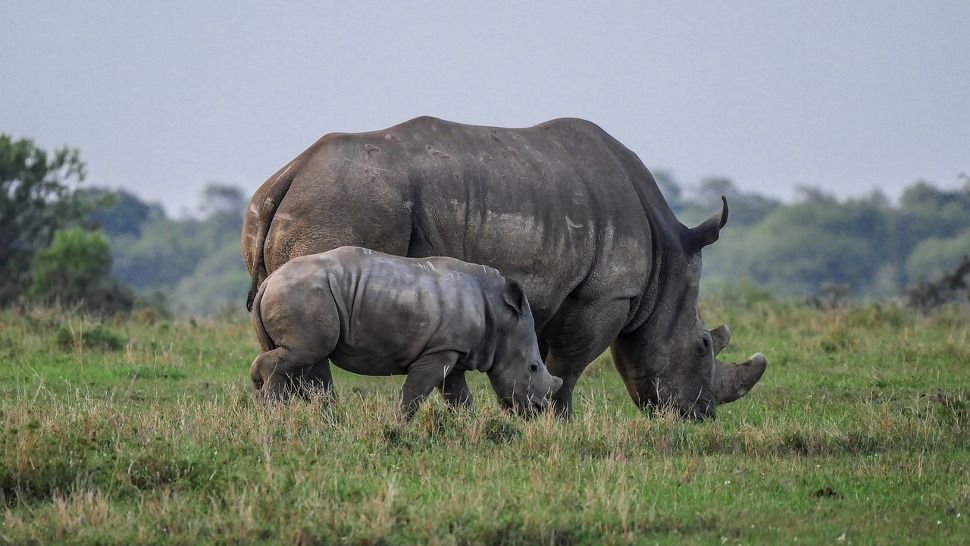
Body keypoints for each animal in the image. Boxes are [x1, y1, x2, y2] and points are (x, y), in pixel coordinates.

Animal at [249, 245, 563, 419]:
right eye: (533, 367)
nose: (537, 411)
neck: (500, 317)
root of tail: (268, 282)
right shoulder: (439, 351)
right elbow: (414, 393)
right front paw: (397, 426)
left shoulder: (453, 351)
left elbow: (460, 398)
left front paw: (473, 428)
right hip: (303, 294)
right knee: (306, 353)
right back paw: (274, 412)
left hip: (300, 293)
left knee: (307, 359)